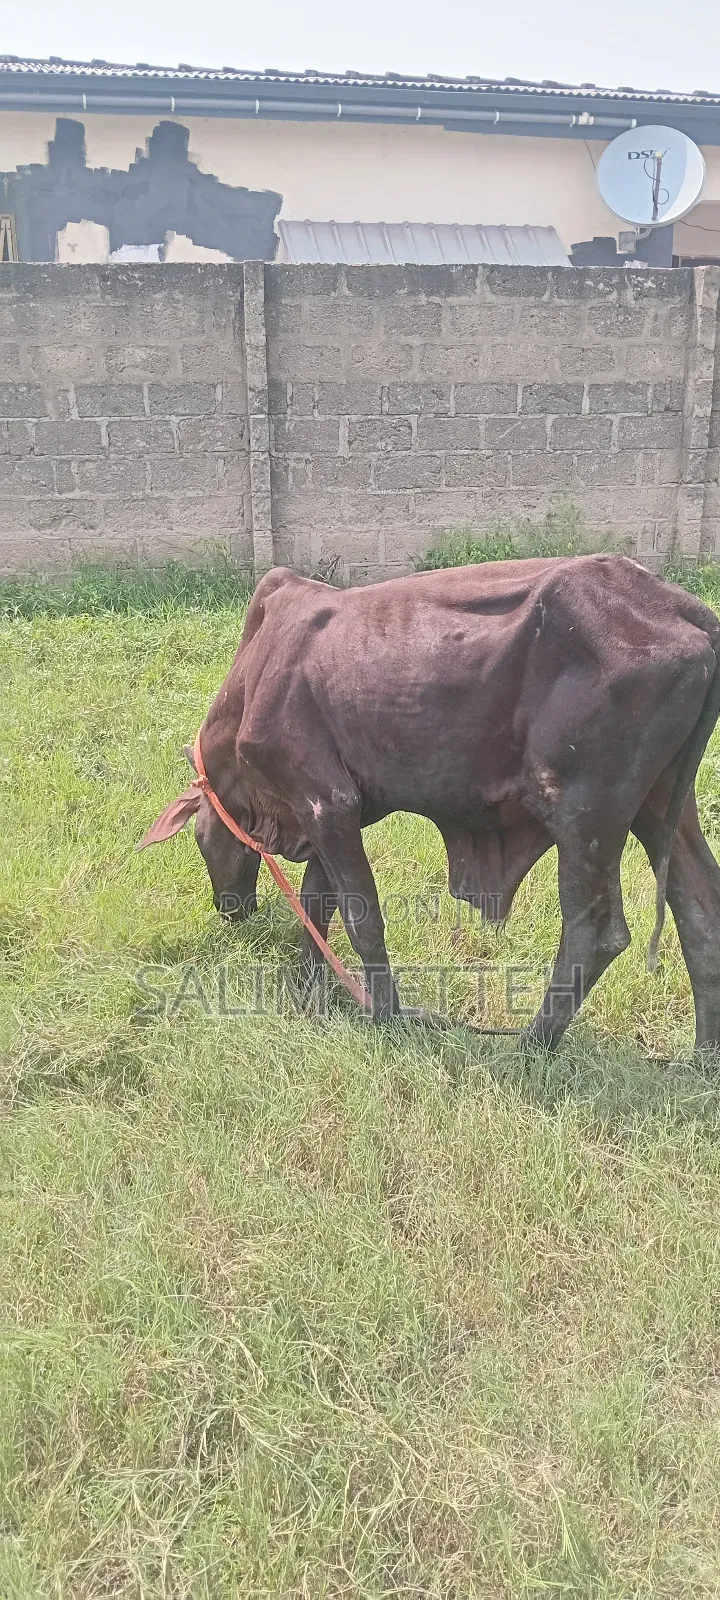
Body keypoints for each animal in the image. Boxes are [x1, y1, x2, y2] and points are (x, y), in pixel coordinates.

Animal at [138, 554, 720, 1051]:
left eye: (197, 839)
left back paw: (528, 1046)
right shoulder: (332, 808)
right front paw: (308, 986)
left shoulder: (326, 801)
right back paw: (701, 1055)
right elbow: (317, 902)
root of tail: (681, 607)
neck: (251, 684)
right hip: (662, 805)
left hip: (586, 814)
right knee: (699, 910)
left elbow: (360, 917)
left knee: (596, 932)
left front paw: (385, 1015)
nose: (231, 908)